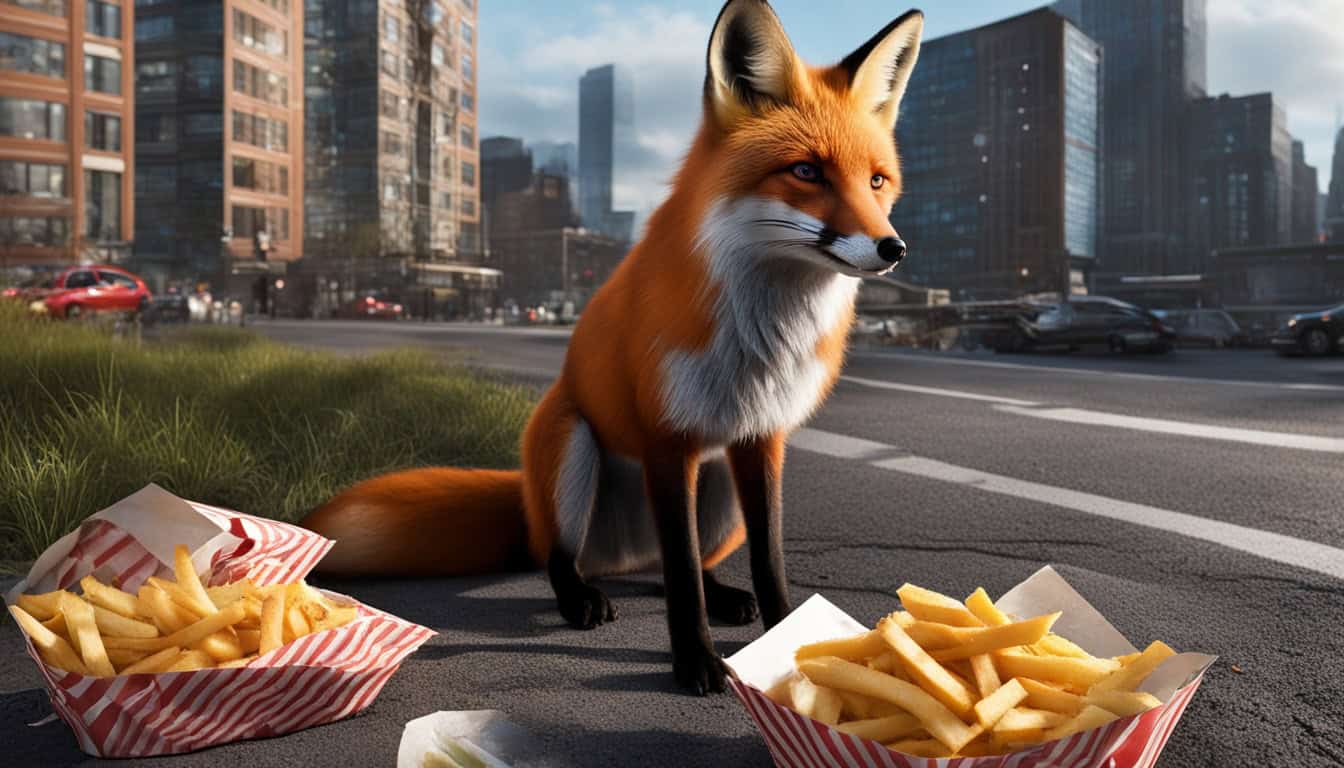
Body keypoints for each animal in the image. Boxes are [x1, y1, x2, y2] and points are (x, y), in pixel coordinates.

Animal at [301, 0, 924, 695]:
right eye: (807, 171)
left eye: (877, 181)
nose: (893, 248)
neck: (761, 337)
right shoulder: (665, 439)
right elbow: (680, 576)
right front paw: (695, 662)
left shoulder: (762, 438)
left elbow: (765, 561)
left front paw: (783, 637)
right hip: (574, 449)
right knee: (570, 560)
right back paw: (580, 597)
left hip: (719, 493)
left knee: (671, 566)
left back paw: (719, 592)